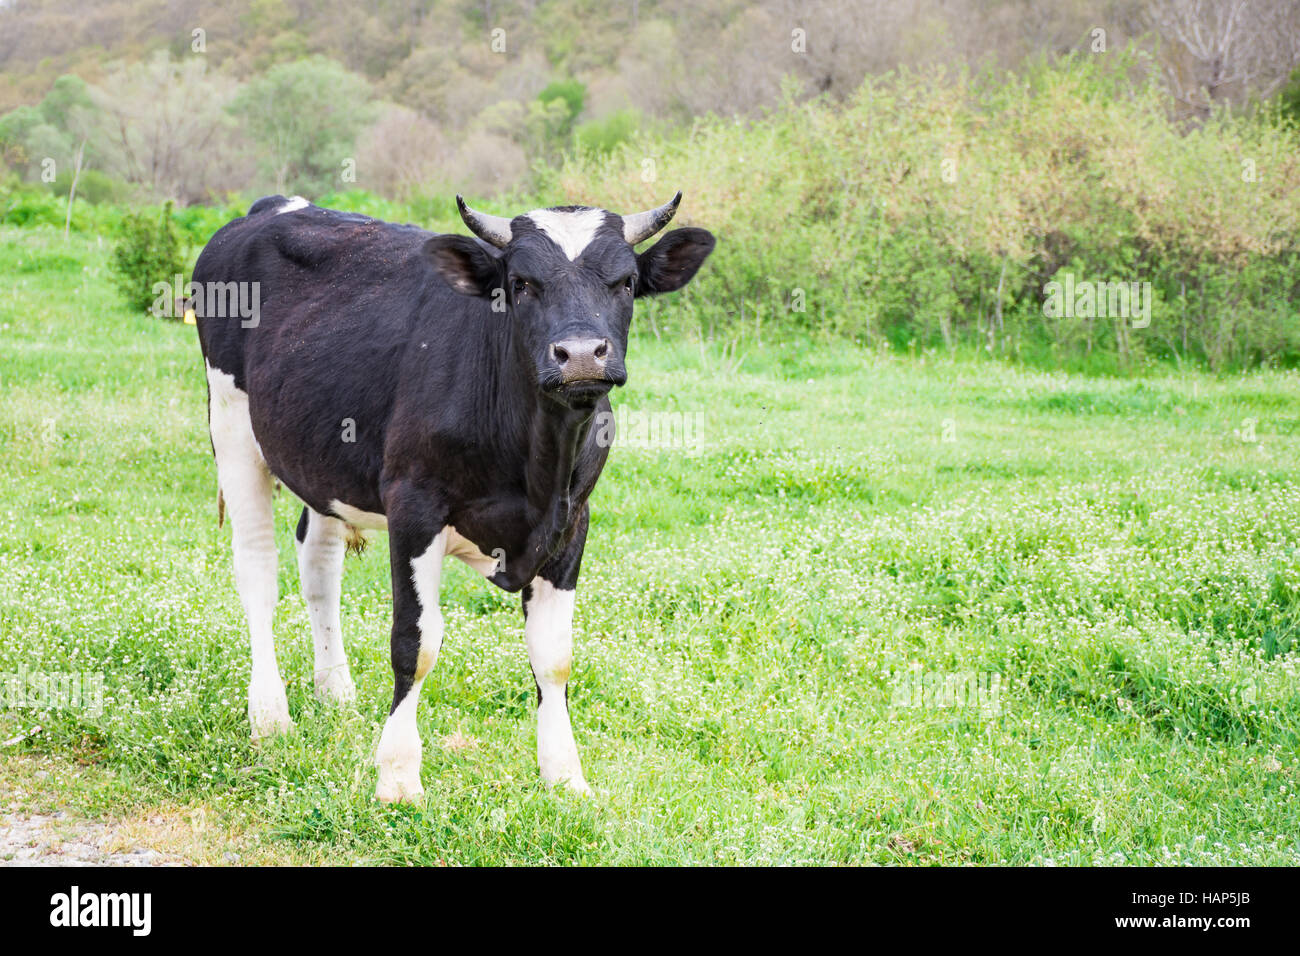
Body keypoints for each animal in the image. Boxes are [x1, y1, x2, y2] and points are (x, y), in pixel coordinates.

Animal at [192, 192, 715, 802]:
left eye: (627, 282)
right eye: (520, 283)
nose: (582, 354)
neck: (536, 464)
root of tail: (277, 204)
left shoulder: (573, 521)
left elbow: (554, 656)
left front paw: (565, 776)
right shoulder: (414, 507)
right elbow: (414, 644)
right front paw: (397, 776)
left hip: (321, 461)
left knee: (318, 566)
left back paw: (335, 693)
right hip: (231, 424)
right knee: (258, 571)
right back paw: (270, 716)